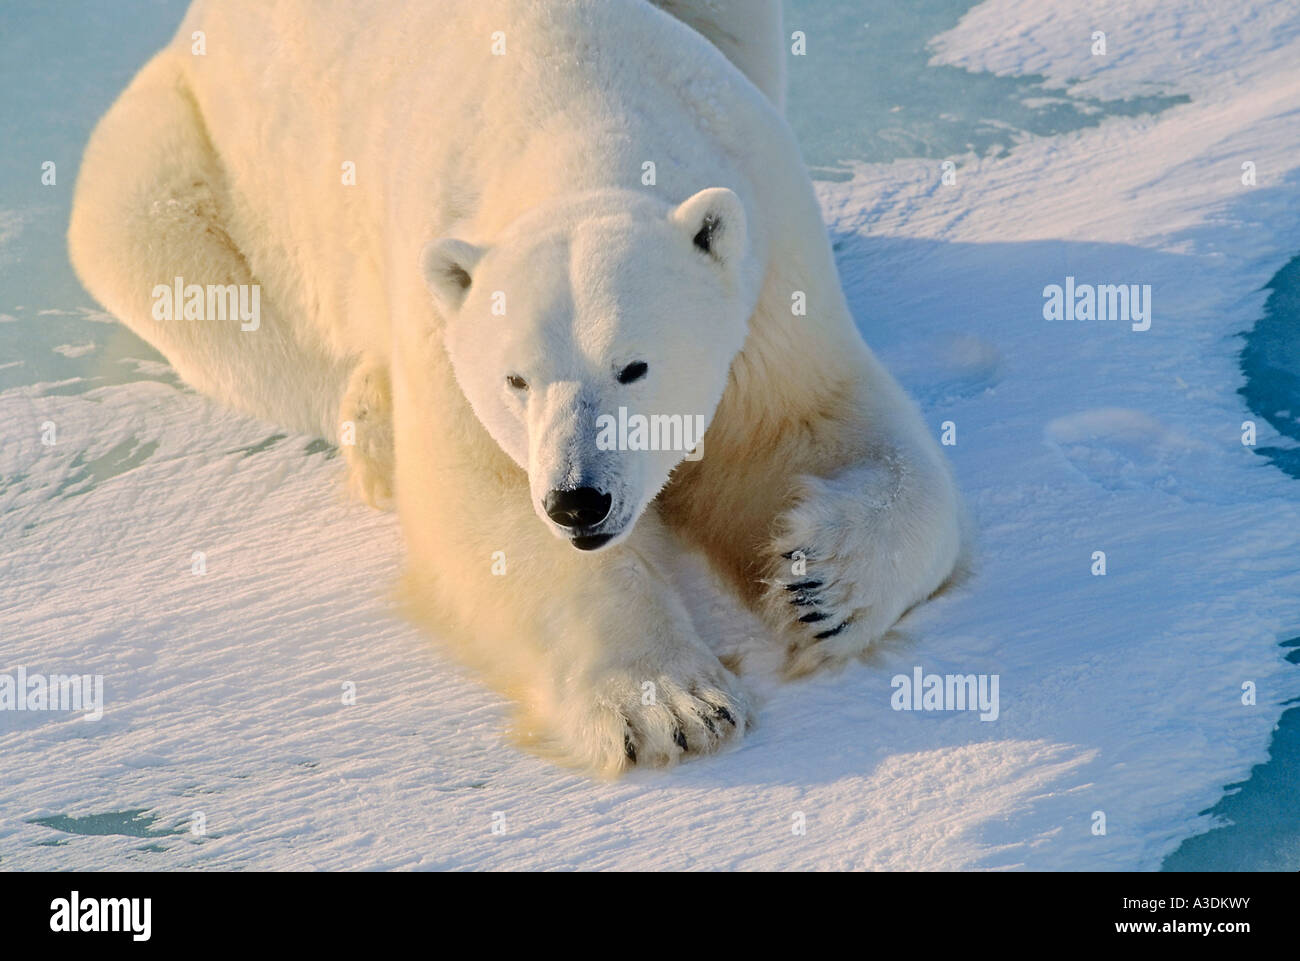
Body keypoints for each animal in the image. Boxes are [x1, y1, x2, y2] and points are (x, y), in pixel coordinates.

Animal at [68, 0, 963, 776]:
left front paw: (818, 587)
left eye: (634, 366)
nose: (578, 501)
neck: (575, 104)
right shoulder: (444, 306)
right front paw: (669, 706)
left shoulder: (768, 259)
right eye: (516, 380)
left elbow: (811, 421)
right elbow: (483, 496)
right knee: (212, 297)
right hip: (193, 165)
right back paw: (375, 426)